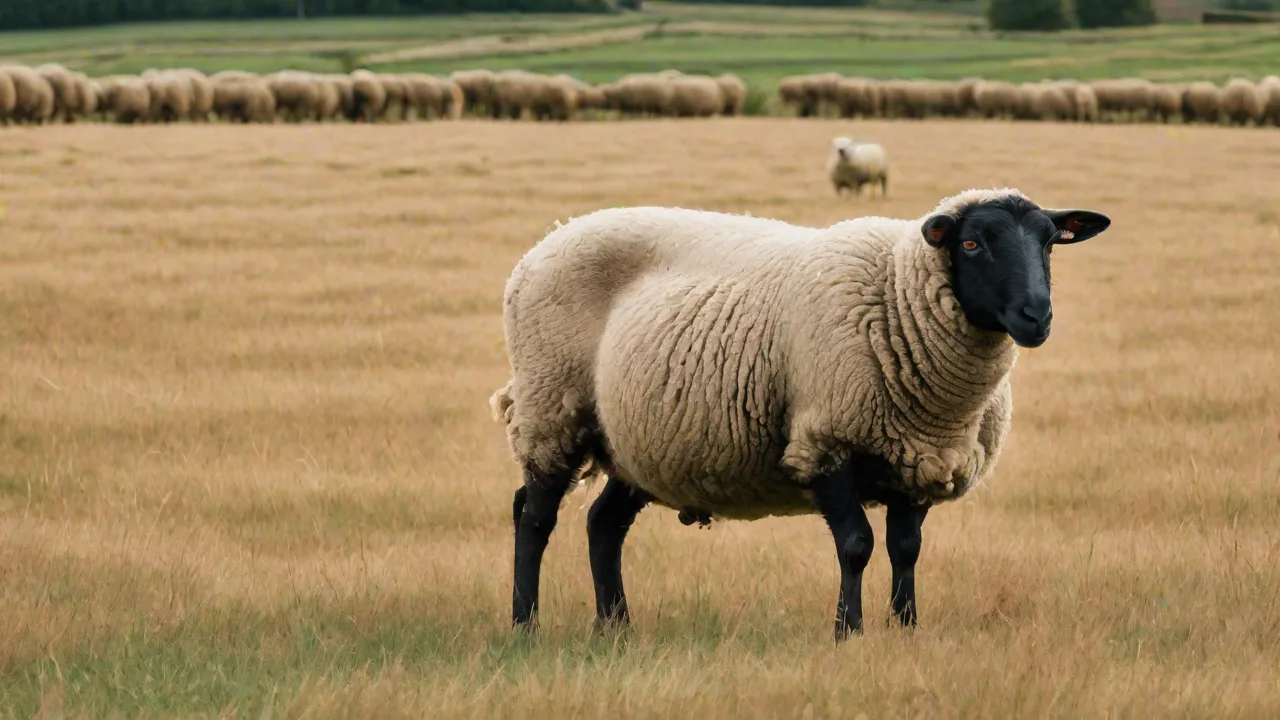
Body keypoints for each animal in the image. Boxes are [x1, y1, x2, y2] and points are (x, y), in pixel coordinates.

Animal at [491, 188, 1112, 640]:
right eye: (973, 244)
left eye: (1050, 243)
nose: (1037, 316)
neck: (896, 296)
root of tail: (546, 241)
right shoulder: (825, 441)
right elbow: (856, 545)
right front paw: (848, 632)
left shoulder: (916, 460)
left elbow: (906, 550)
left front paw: (905, 629)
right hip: (551, 408)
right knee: (534, 517)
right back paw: (525, 625)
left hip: (642, 441)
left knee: (604, 524)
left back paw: (616, 628)